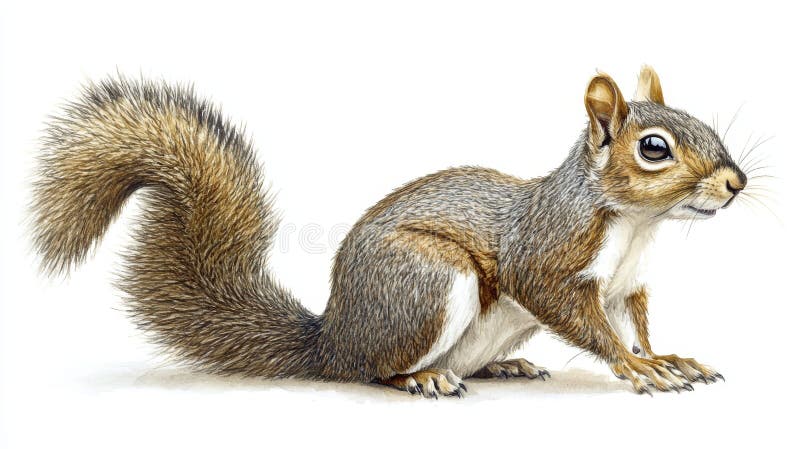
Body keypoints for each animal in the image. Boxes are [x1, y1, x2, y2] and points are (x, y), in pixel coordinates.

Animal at [31, 66, 747, 398]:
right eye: (654, 148)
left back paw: (504, 363)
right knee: (376, 371)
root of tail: (333, 341)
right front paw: (638, 368)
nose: (736, 183)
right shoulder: (548, 257)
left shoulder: (628, 285)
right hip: (426, 280)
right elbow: (584, 321)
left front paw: (666, 357)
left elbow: (636, 320)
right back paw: (420, 380)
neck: (636, 227)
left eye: (707, 126)